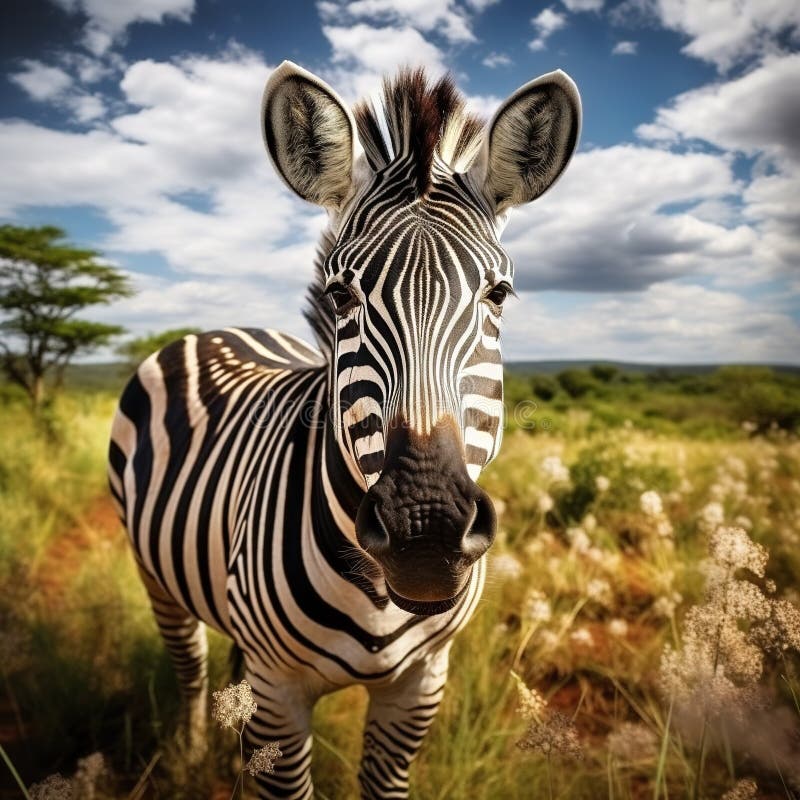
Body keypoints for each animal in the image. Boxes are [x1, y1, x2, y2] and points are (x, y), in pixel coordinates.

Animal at [108, 61, 580, 798]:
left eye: (498, 294)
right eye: (341, 296)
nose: (426, 531)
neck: (380, 596)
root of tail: (217, 329)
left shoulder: (419, 684)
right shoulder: (279, 697)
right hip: (154, 573)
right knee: (188, 669)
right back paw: (188, 754)